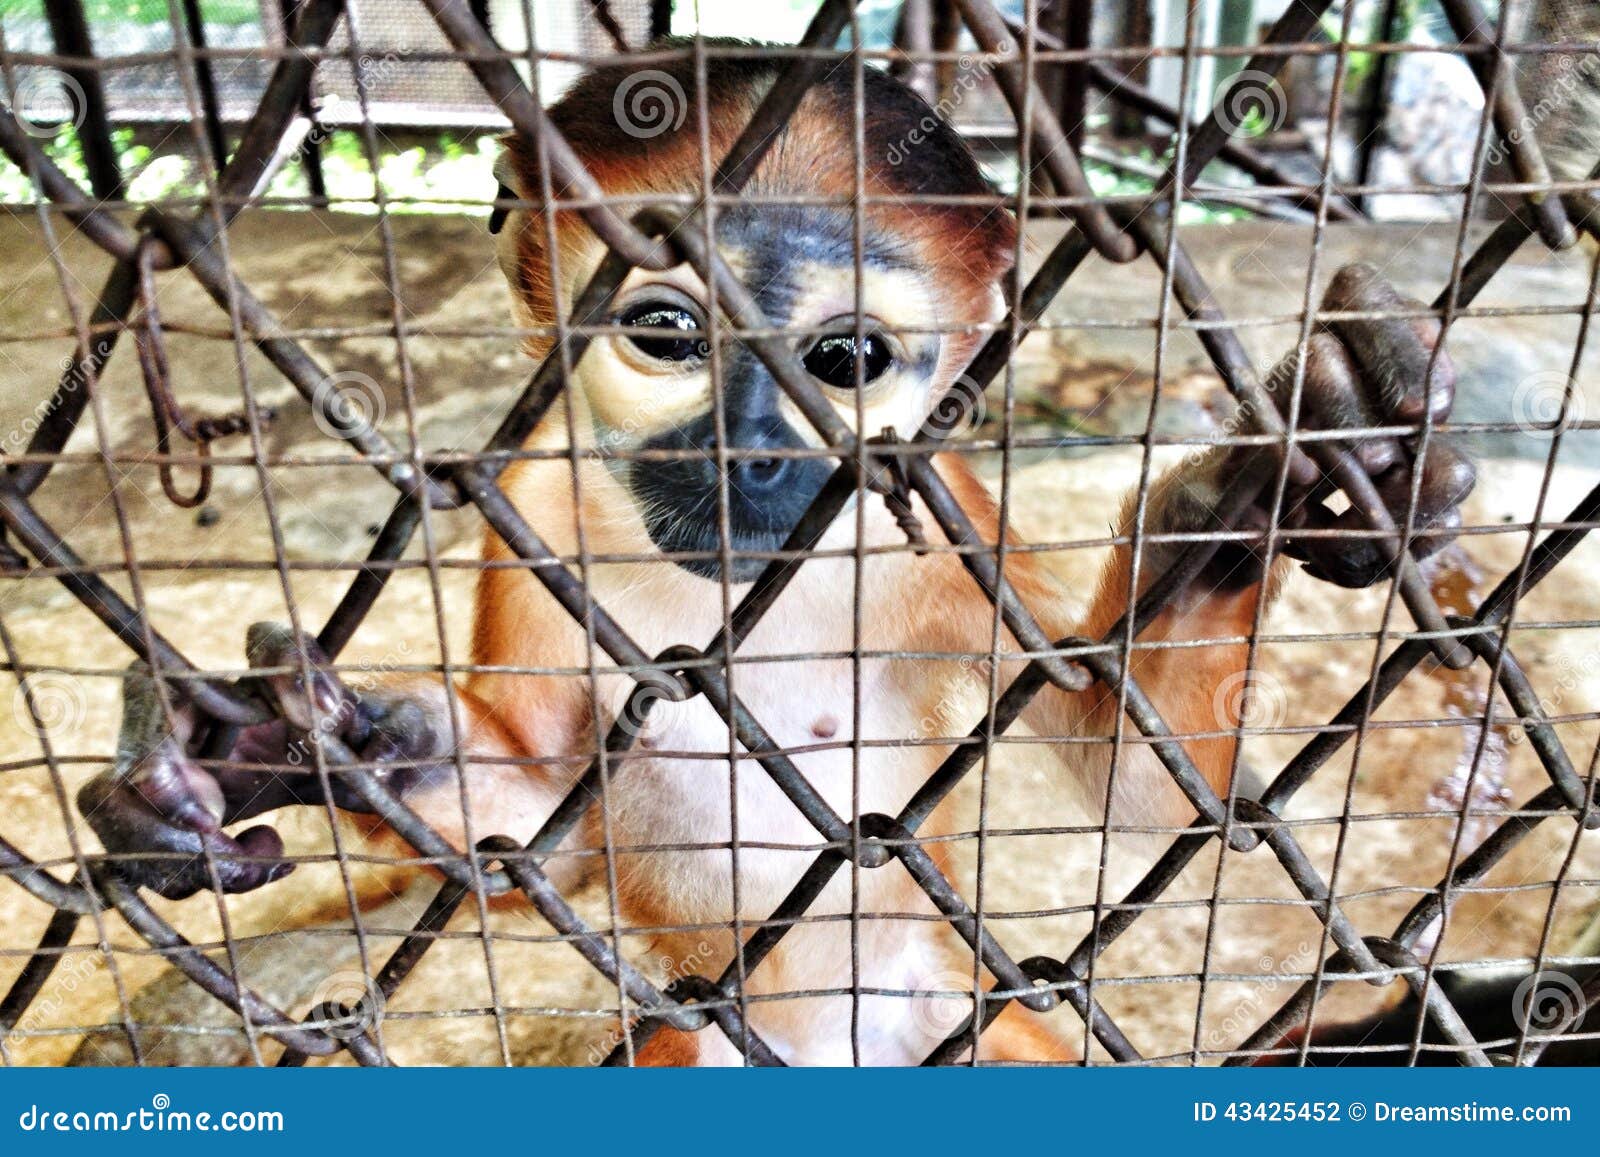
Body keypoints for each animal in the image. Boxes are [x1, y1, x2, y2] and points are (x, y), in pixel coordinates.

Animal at [77, 45, 1477, 1066]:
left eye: (844, 359)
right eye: (664, 332)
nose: (747, 455)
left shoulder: (941, 515)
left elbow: (1134, 768)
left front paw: (1268, 490)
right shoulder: (527, 508)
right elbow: (531, 826)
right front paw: (285, 743)